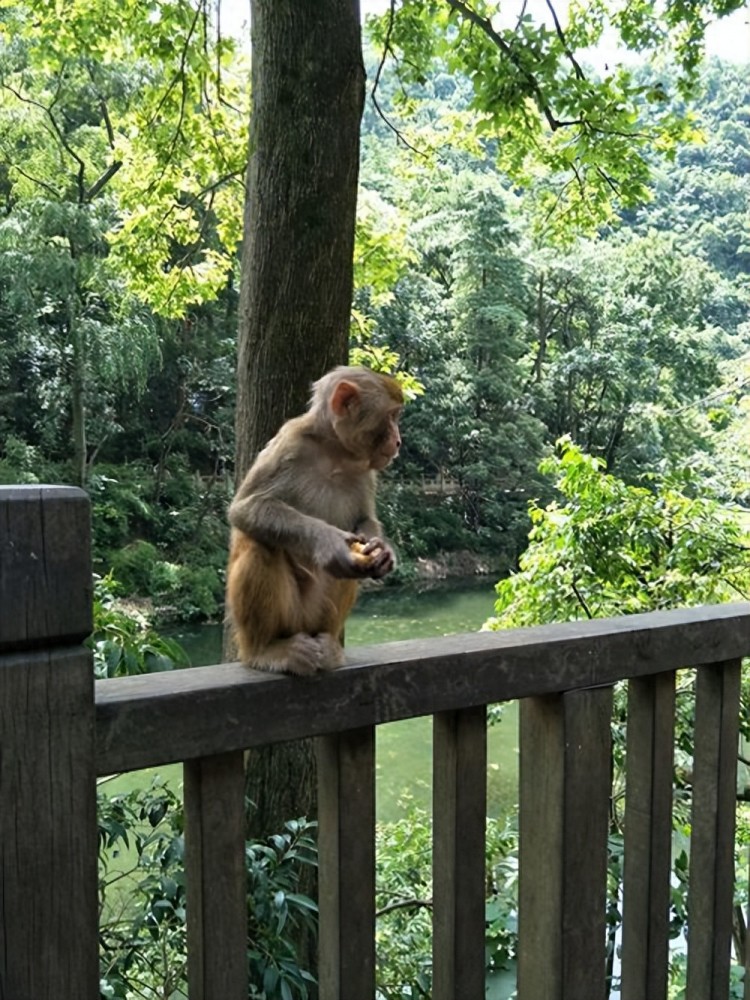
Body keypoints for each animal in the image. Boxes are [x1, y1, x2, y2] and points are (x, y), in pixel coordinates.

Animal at [226, 364, 406, 676]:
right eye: (391, 416)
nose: (398, 441)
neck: (336, 452)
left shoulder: (366, 470)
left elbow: (364, 519)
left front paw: (382, 550)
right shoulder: (290, 442)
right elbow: (246, 508)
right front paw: (329, 542)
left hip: (316, 618)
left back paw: (329, 648)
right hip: (287, 619)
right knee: (259, 542)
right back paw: (266, 650)